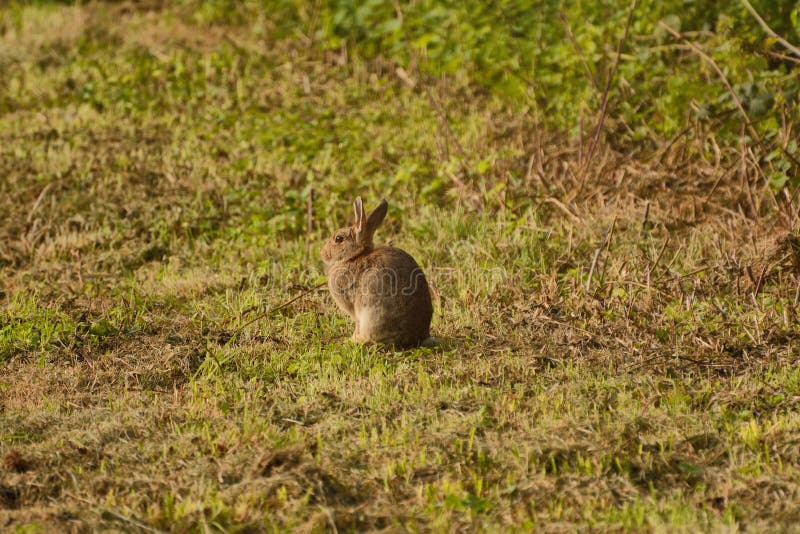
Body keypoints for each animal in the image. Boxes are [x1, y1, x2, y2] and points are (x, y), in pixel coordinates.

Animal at [321, 197, 433, 348]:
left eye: (338, 239)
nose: (323, 254)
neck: (354, 257)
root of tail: (416, 338)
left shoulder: (354, 308)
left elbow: (356, 324)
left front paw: (351, 339)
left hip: (373, 314)